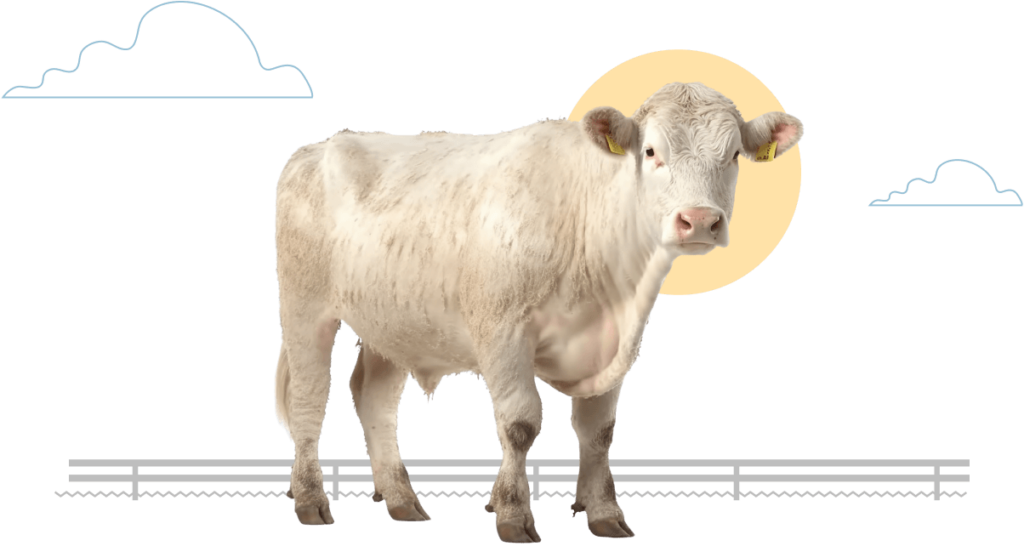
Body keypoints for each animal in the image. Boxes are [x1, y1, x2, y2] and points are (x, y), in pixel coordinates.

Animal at [273, 82, 804, 541]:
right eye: (652, 152)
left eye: (732, 155)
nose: (699, 220)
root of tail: (315, 149)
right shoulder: (503, 331)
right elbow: (520, 423)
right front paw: (512, 514)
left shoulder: (615, 343)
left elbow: (599, 432)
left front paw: (604, 513)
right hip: (305, 308)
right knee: (310, 398)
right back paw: (311, 500)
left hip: (394, 322)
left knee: (374, 399)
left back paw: (402, 500)